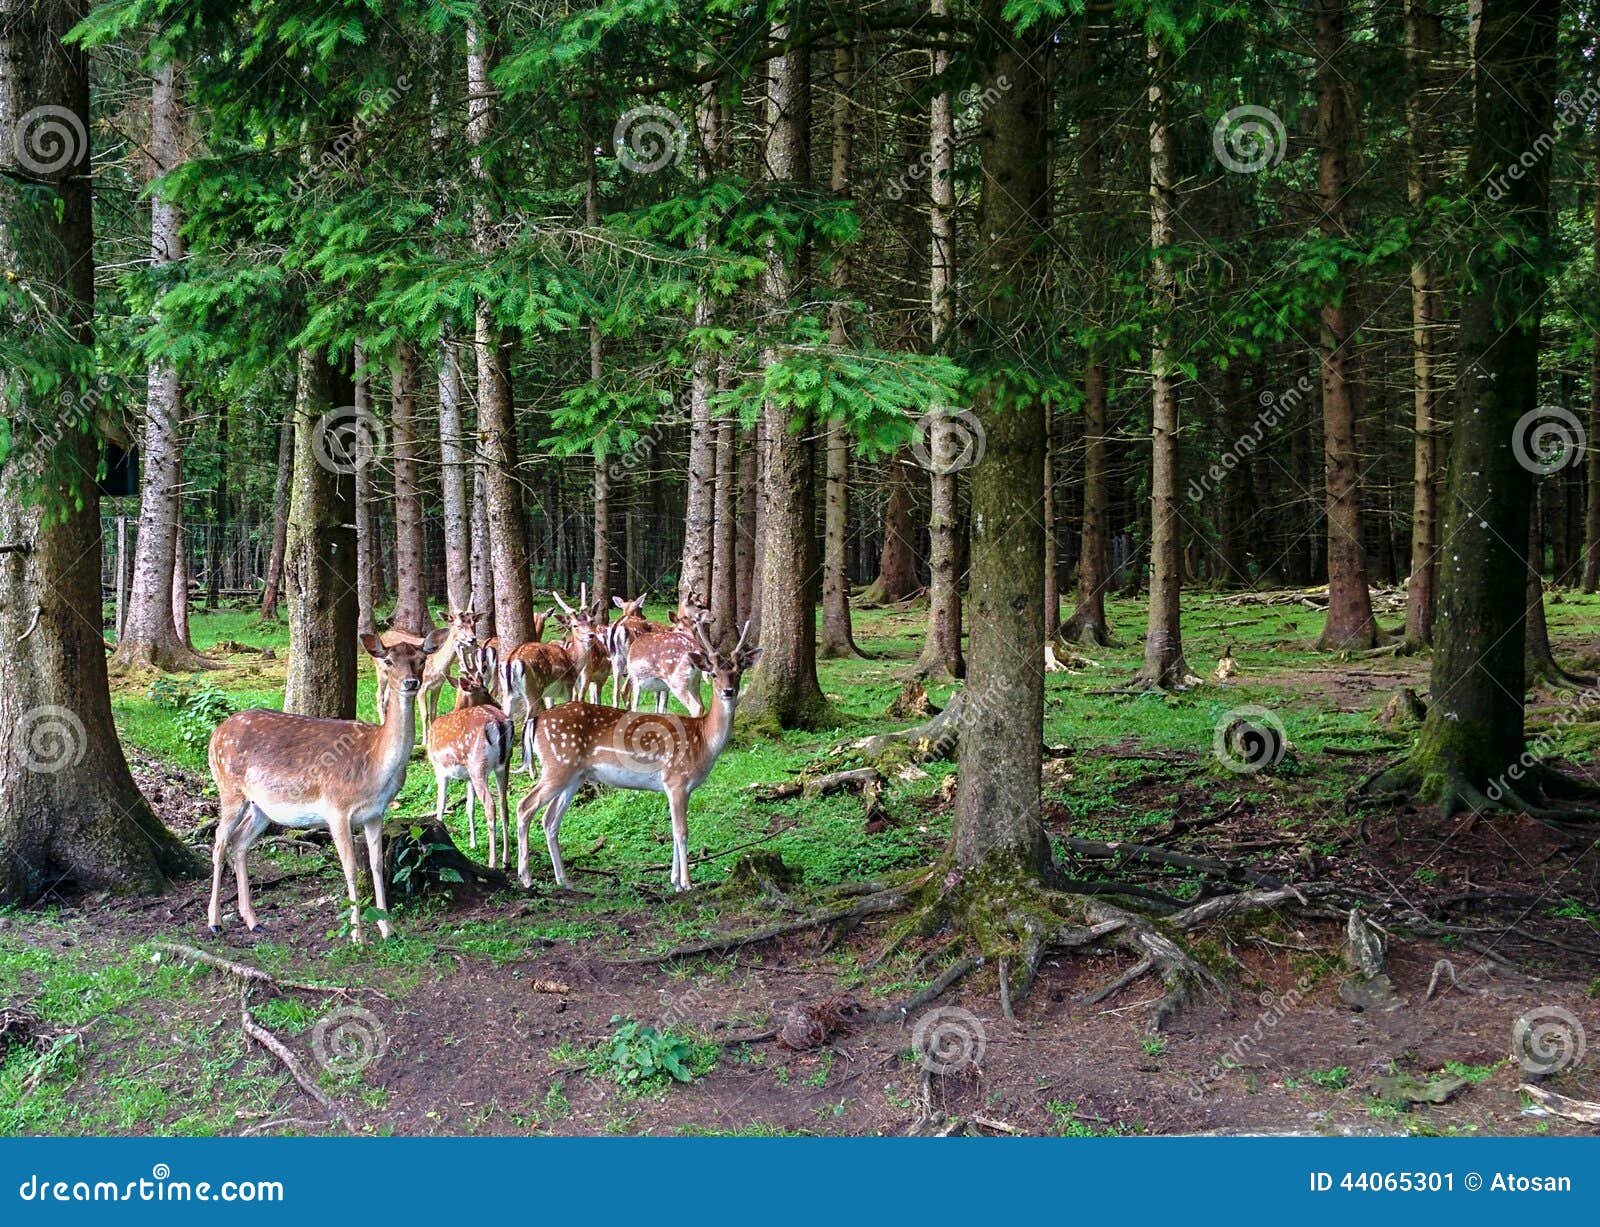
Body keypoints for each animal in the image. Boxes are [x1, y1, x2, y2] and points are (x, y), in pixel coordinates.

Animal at [208, 629, 448, 943]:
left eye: (421, 659)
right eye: (388, 660)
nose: (411, 683)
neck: (375, 766)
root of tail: (215, 735)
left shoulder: (375, 813)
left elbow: (376, 865)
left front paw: (388, 929)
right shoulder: (337, 809)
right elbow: (351, 868)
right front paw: (358, 936)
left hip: (262, 807)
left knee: (239, 842)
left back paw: (253, 920)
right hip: (229, 787)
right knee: (219, 841)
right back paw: (214, 922)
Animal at [373, 608, 479, 740]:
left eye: (473, 624)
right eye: (459, 626)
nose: (472, 639)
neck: (437, 666)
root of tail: (384, 634)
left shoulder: (438, 685)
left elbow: (433, 712)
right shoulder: (421, 687)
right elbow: (425, 714)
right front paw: (424, 740)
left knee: (387, 698)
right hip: (380, 671)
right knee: (379, 695)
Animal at [426, 645, 513, 868]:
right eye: (484, 690)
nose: (498, 704)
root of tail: (499, 722)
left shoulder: (439, 768)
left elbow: (440, 806)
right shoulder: (466, 776)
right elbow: (469, 807)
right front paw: (473, 843)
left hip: (478, 765)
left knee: (491, 806)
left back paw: (493, 862)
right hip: (502, 765)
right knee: (505, 804)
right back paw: (507, 860)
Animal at [515, 621, 761, 892]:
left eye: (738, 673)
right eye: (715, 673)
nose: (728, 691)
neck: (704, 740)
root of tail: (535, 721)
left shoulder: (678, 787)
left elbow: (673, 830)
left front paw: (674, 880)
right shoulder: (676, 779)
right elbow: (682, 832)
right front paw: (686, 883)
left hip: (573, 775)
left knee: (549, 820)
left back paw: (563, 879)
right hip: (557, 765)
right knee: (524, 806)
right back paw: (526, 878)